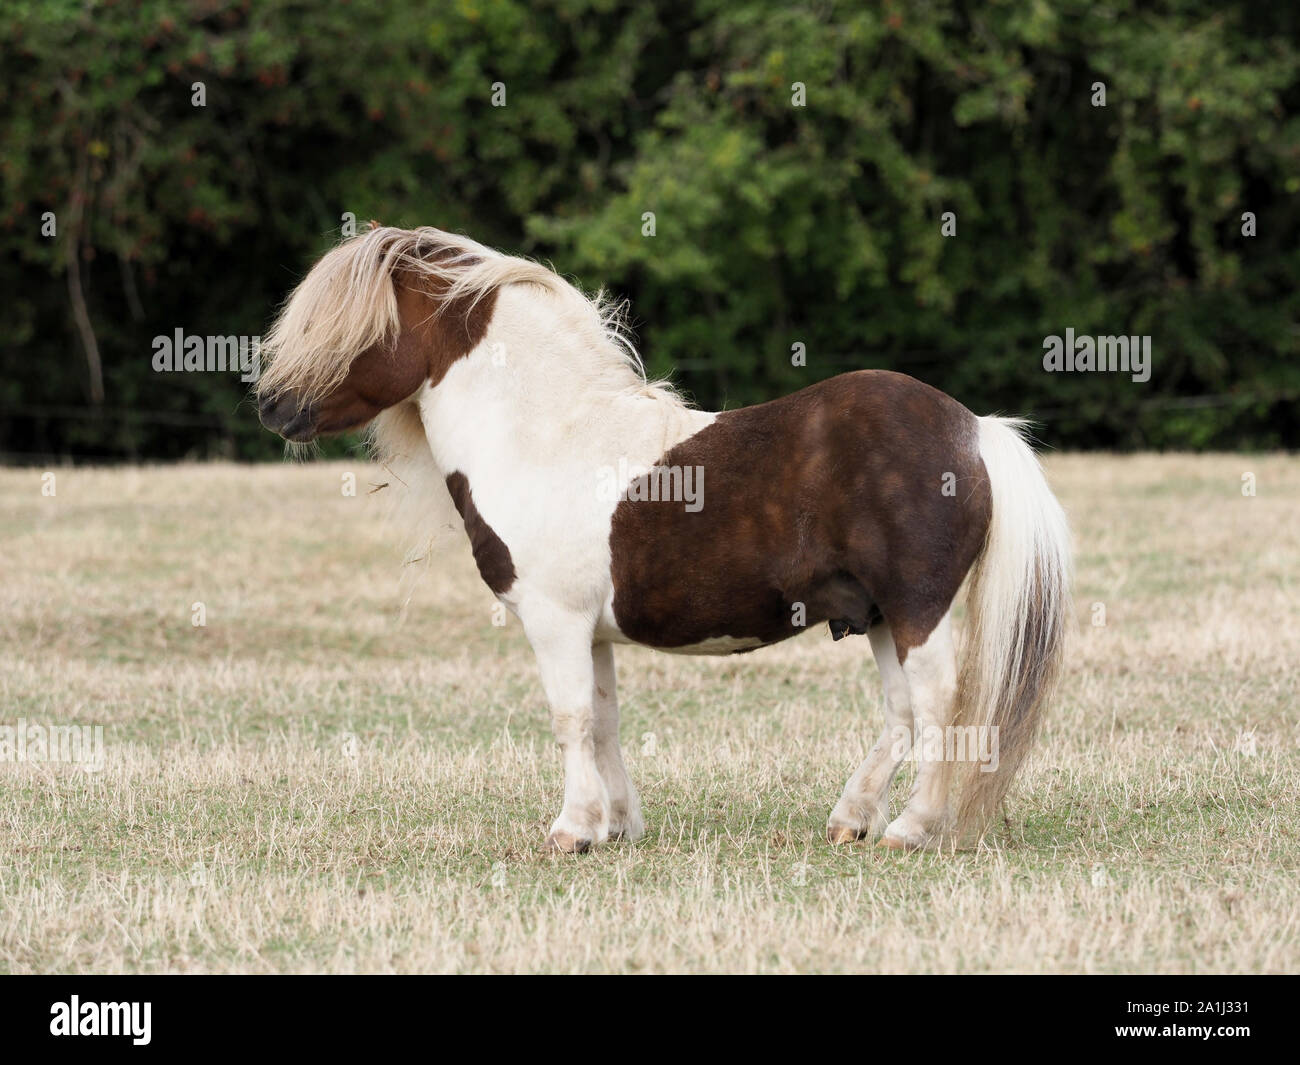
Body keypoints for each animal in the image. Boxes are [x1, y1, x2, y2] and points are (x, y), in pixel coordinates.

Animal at [257, 224, 1071, 854]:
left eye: (352, 325)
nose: (272, 406)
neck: (545, 436)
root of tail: (973, 430)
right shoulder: (592, 631)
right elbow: (604, 720)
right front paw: (615, 825)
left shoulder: (555, 622)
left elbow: (570, 718)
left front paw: (571, 831)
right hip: (874, 615)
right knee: (902, 713)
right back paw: (851, 820)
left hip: (916, 610)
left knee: (937, 707)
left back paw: (912, 828)